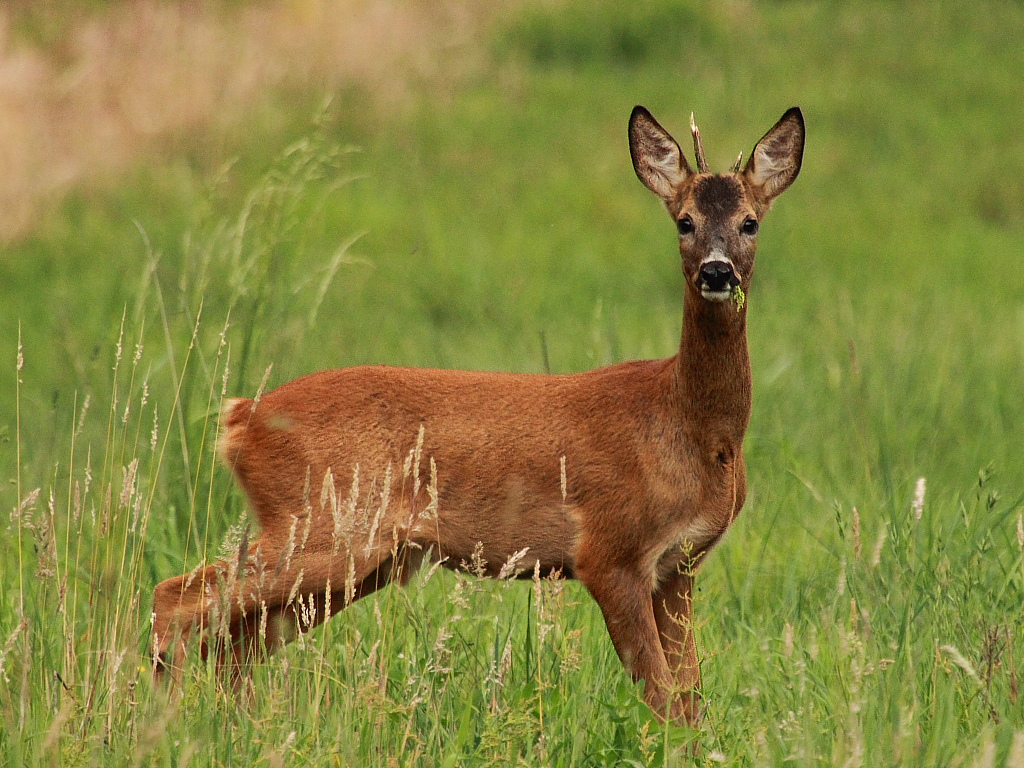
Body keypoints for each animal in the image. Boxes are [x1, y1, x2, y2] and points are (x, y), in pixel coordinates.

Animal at [151, 105, 804, 725]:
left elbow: (691, 701)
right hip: (324, 527)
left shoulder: (678, 568)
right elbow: (663, 697)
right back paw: (161, 723)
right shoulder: (608, 552)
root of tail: (241, 419)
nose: (716, 271)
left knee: (234, 642)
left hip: (358, 560)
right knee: (175, 601)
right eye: (683, 221)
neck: (686, 425)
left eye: (750, 221)